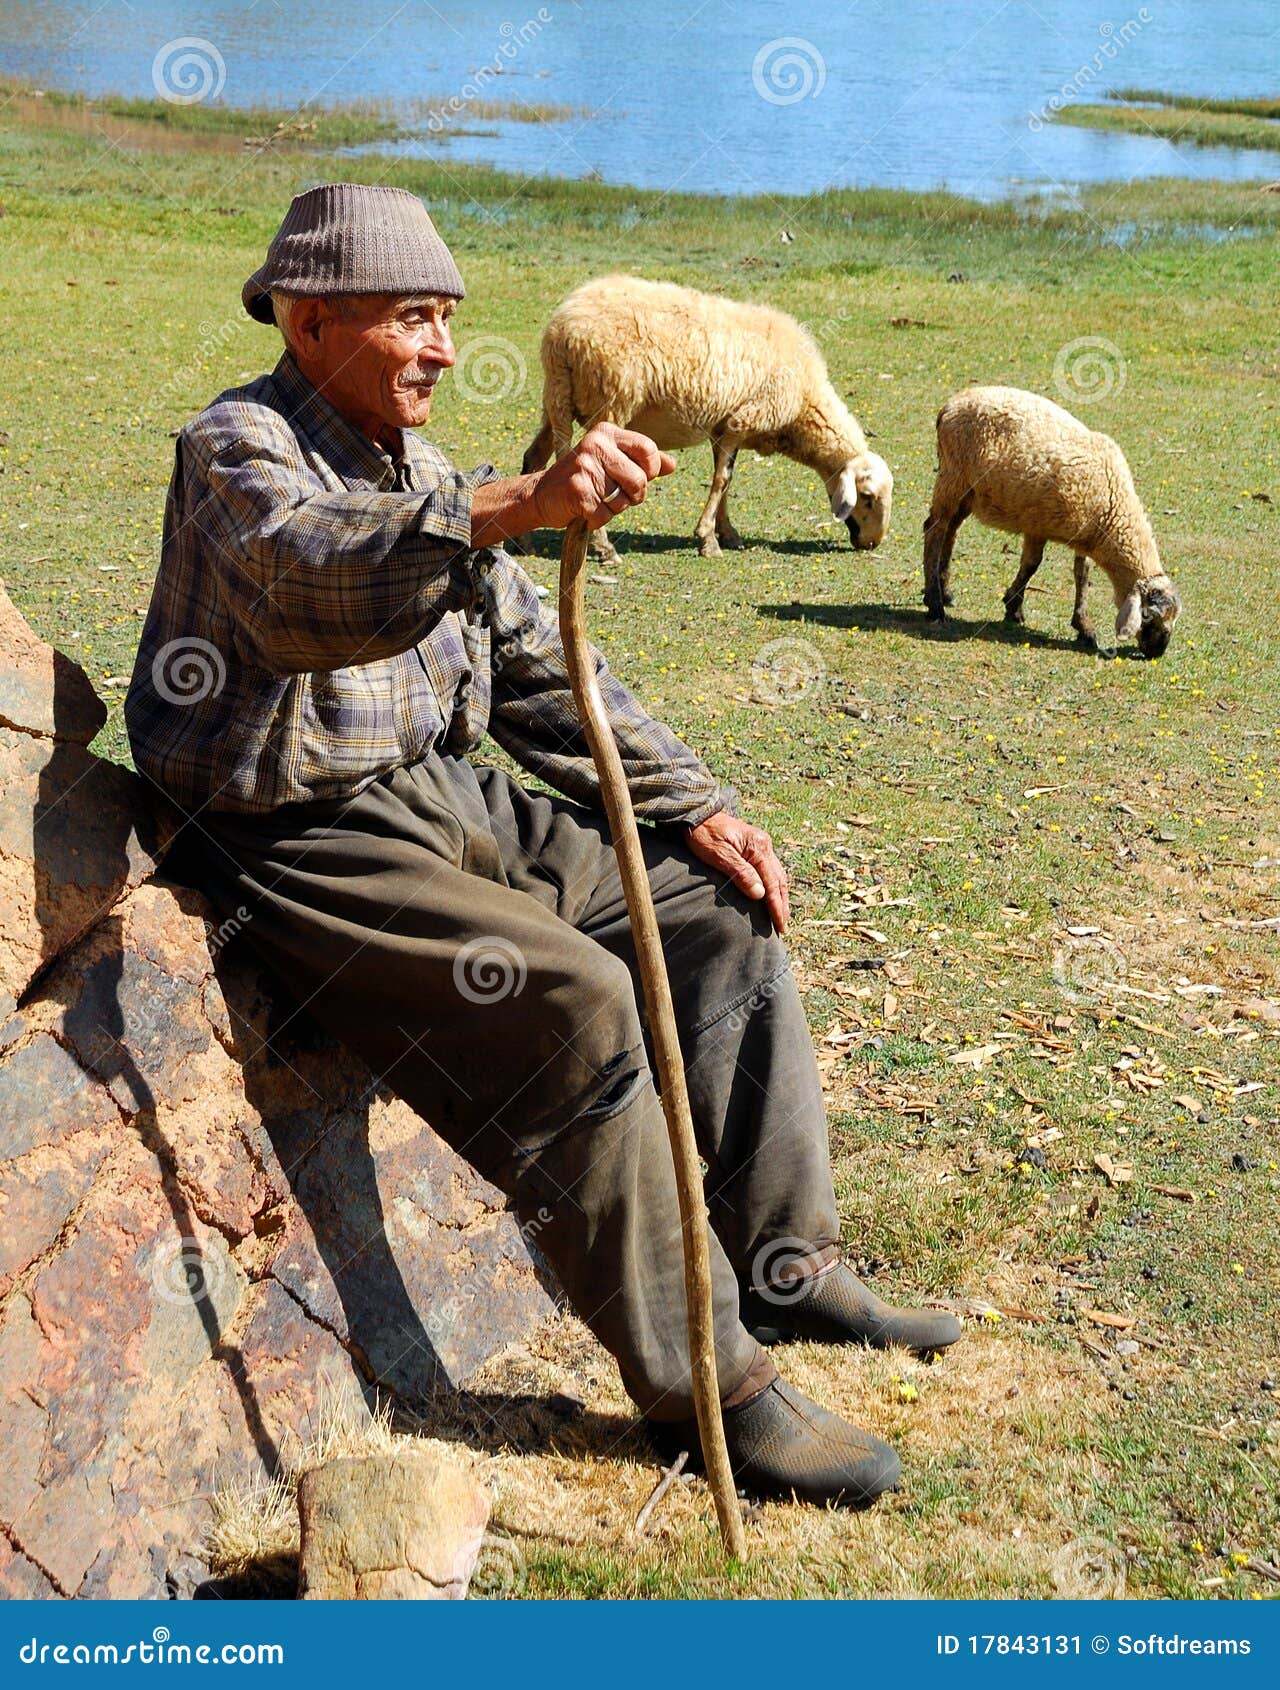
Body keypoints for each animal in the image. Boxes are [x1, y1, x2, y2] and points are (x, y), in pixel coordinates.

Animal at [520, 274, 893, 562]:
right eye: (868, 498)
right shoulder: (742, 420)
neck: (804, 404)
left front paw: (726, 533)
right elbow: (721, 480)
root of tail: (562, 329)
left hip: (557, 398)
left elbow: (724, 480)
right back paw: (603, 548)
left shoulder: (724, 426)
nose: (872, 543)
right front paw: (708, 540)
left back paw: (523, 541)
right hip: (609, 401)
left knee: (535, 456)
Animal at [922, 385, 1181, 658]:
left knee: (950, 531)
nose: (1158, 651)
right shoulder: (1039, 525)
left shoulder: (1084, 536)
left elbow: (1079, 574)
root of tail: (951, 405)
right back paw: (936, 605)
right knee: (934, 530)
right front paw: (1015, 607)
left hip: (968, 491)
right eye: (1147, 616)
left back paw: (944, 592)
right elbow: (1033, 564)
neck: (1112, 509)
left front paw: (1081, 626)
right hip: (953, 475)